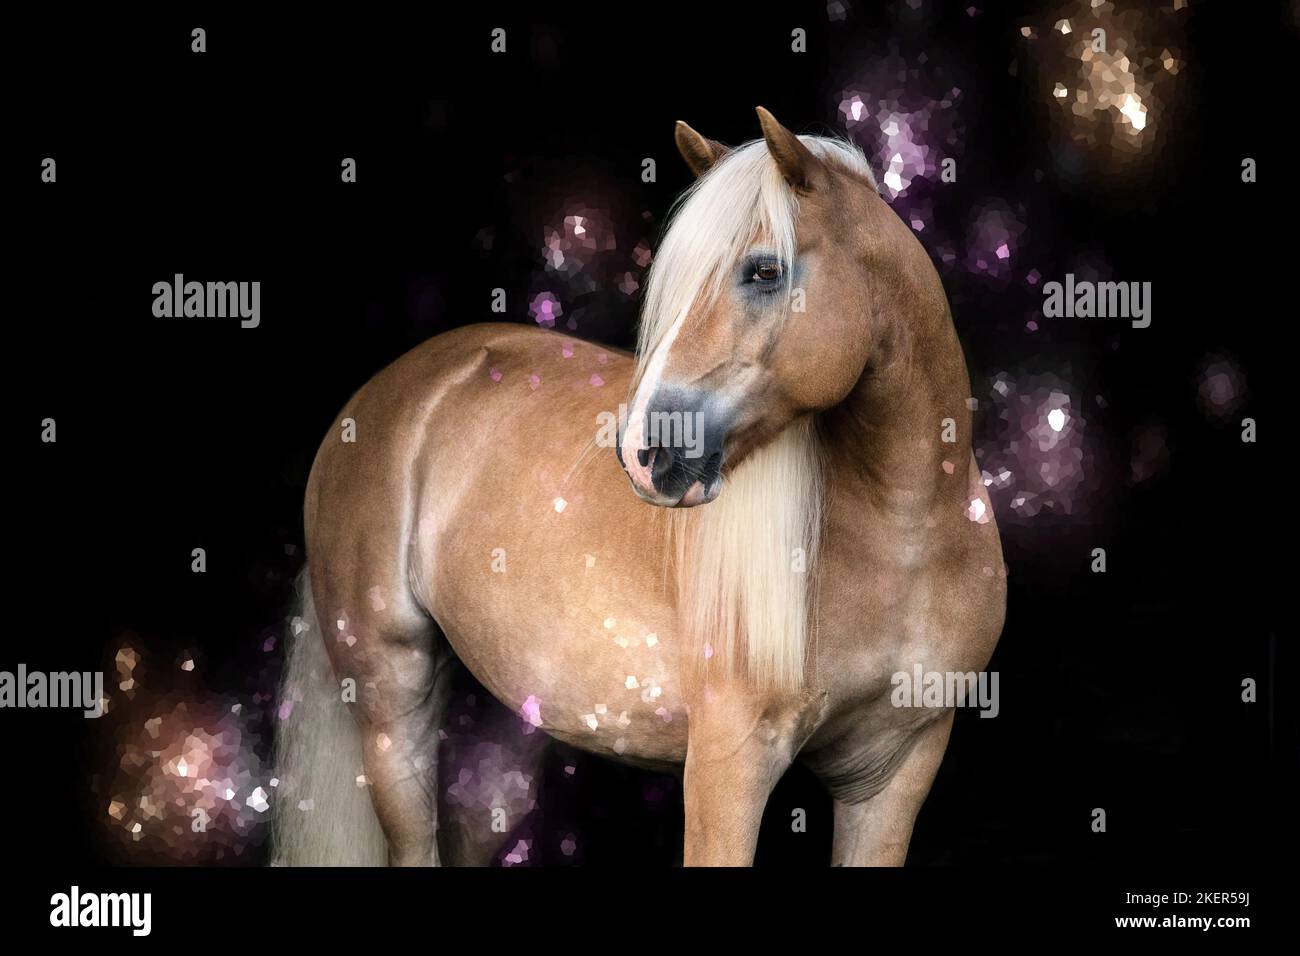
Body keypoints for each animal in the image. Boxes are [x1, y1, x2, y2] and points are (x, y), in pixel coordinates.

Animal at [271, 107, 1006, 867]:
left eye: (764, 270)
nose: (642, 452)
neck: (906, 539)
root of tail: (388, 390)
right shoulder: (729, 761)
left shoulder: (893, 773)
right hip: (393, 701)